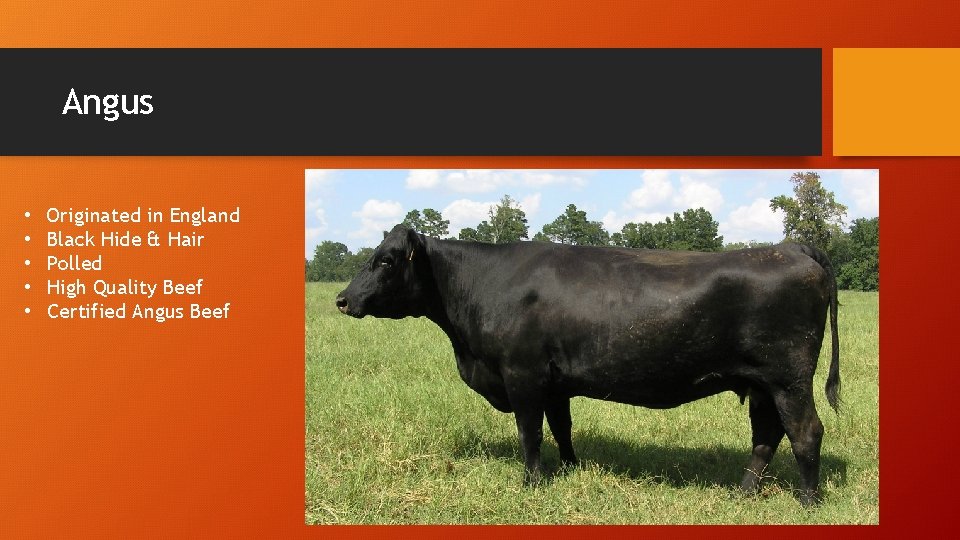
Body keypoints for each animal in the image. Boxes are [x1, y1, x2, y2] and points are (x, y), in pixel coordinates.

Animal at [335, 224, 840, 506]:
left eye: (385, 260)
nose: (342, 299)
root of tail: (792, 247)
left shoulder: (522, 374)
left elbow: (530, 432)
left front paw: (531, 483)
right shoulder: (555, 382)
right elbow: (562, 427)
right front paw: (570, 468)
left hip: (789, 379)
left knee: (805, 432)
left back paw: (809, 502)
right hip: (761, 384)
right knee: (766, 436)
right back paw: (744, 493)